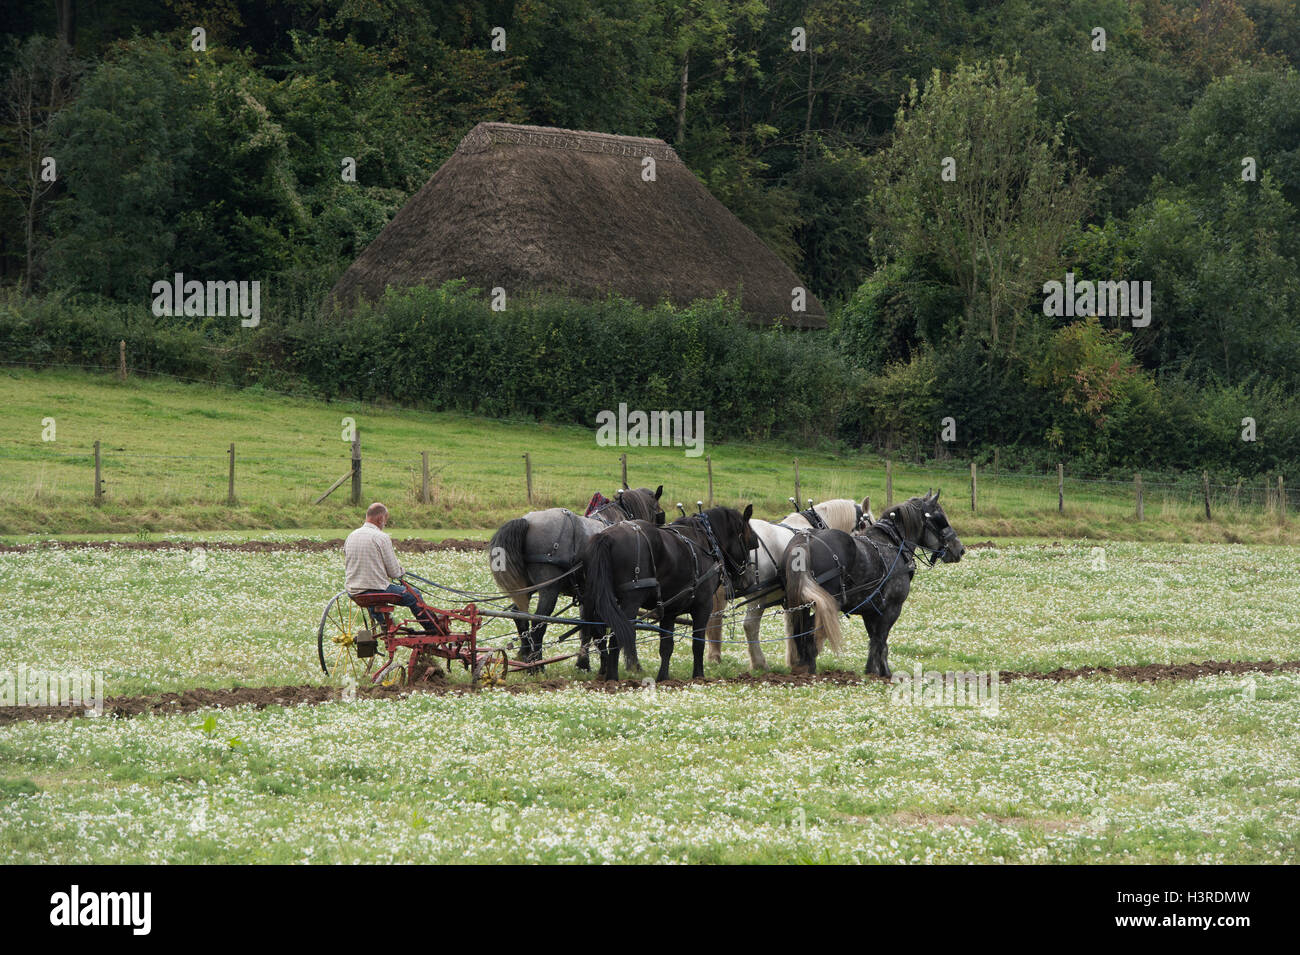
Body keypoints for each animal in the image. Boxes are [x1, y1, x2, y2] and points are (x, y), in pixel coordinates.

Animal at [489, 485, 664, 663]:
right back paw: (537, 662)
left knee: (519, 614)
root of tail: (528, 521)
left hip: (528, 587)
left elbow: (587, 627)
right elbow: (599, 628)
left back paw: (524, 653)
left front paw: (584, 660)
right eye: (659, 513)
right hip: (549, 588)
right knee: (539, 623)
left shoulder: (588, 595)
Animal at [579, 505, 756, 681]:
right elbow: (698, 643)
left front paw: (663, 677)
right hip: (630, 602)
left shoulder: (670, 611)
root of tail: (606, 536)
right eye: (751, 543)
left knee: (597, 633)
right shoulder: (703, 606)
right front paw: (698, 676)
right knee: (617, 635)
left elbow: (666, 646)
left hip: (597, 600)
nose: (749, 579)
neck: (705, 543)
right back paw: (612, 678)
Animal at [703, 497, 873, 670]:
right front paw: (800, 659)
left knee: (713, 620)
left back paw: (714, 657)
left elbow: (792, 625)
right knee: (750, 625)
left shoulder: (791, 598)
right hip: (758, 597)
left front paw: (793, 659)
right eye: (867, 524)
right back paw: (759, 663)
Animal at [780, 491, 964, 677]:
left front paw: (874, 670)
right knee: (810, 629)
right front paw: (880, 672)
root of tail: (805, 540)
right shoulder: (892, 607)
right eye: (940, 519)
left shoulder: (870, 609)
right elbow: (881, 639)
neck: (893, 543)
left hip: (800, 602)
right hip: (828, 603)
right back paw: (809, 667)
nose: (960, 549)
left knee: (799, 629)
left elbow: (874, 639)